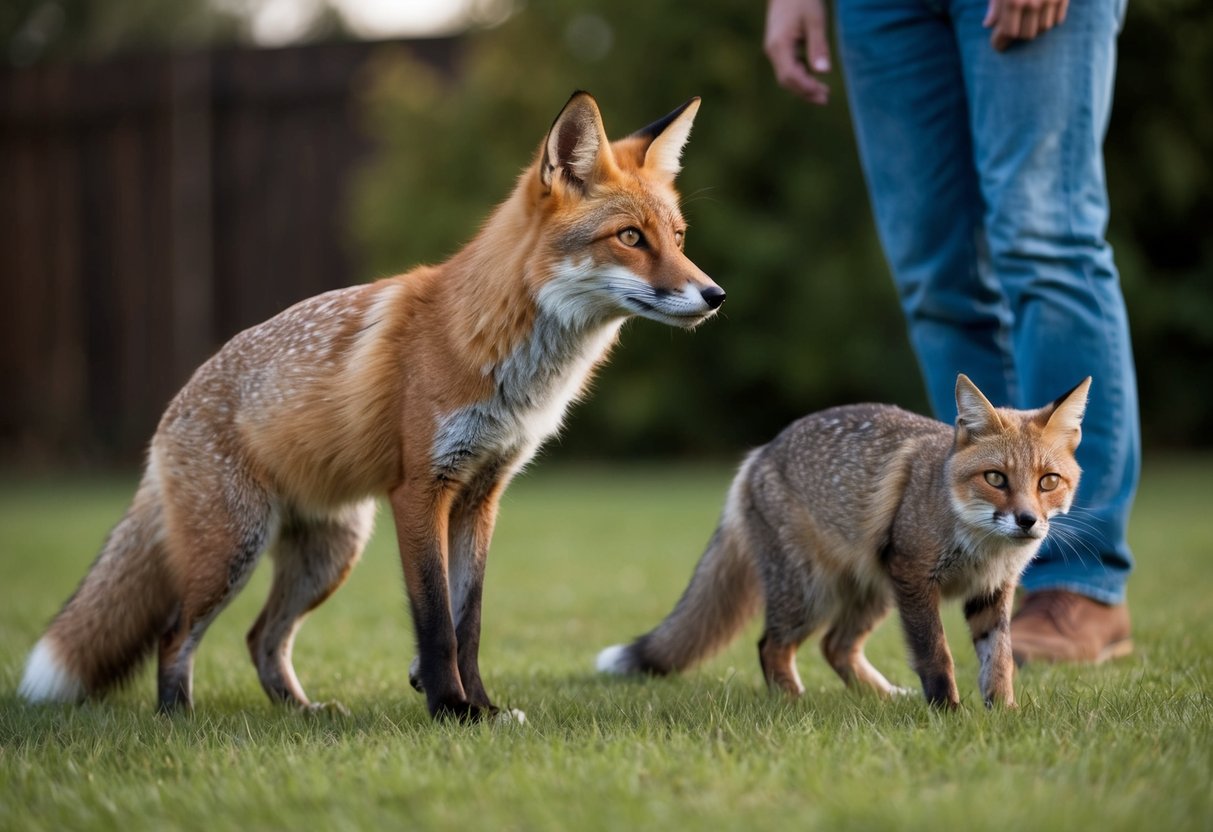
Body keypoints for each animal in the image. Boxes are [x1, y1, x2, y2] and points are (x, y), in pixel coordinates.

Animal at [18, 91, 724, 722]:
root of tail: (170, 416)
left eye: (678, 236)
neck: (500, 350)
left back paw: (303, 714)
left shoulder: (482, 494)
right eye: (629, 237)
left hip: (329, 554)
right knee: (174, 635)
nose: (714, 294)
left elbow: (468, 623)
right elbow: (436, 622)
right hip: (233, 549)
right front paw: (451, 711)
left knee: (260, 638)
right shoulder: (420, 490)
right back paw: (177, 718)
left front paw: (485, 707)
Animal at [598, 374, 1090, 709]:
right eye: (996, 478)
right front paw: (948, 713)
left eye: (1048, 482)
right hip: (810, 594)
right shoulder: (915, 577)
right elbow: (936, 655)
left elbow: (999, 661)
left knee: (835, 647)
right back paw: (792, 702)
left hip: (873, 593)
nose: (1027, 521)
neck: (982, 549)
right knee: (771, 646)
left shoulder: (991, 592)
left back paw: (884, 696)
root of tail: (759, 455)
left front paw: (1002, 714)